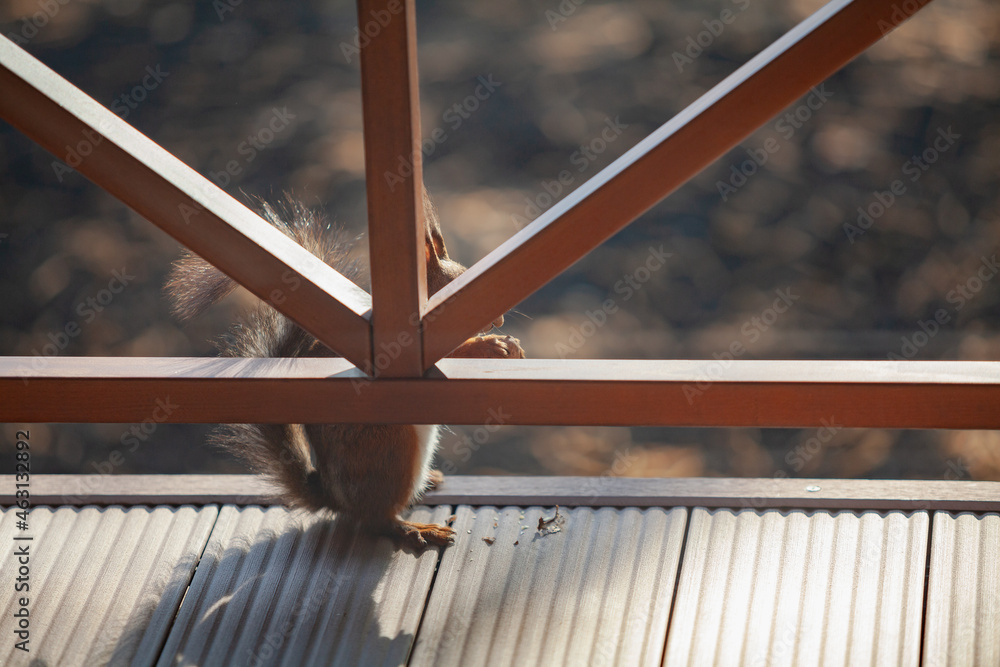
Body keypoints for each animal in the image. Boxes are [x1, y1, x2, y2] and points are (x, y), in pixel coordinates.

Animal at [165, 187, 525, 549]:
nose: (498, 320)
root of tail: (334, 497)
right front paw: (492, 345)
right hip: (390, 451)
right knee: (377, 519)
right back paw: (415, 529)